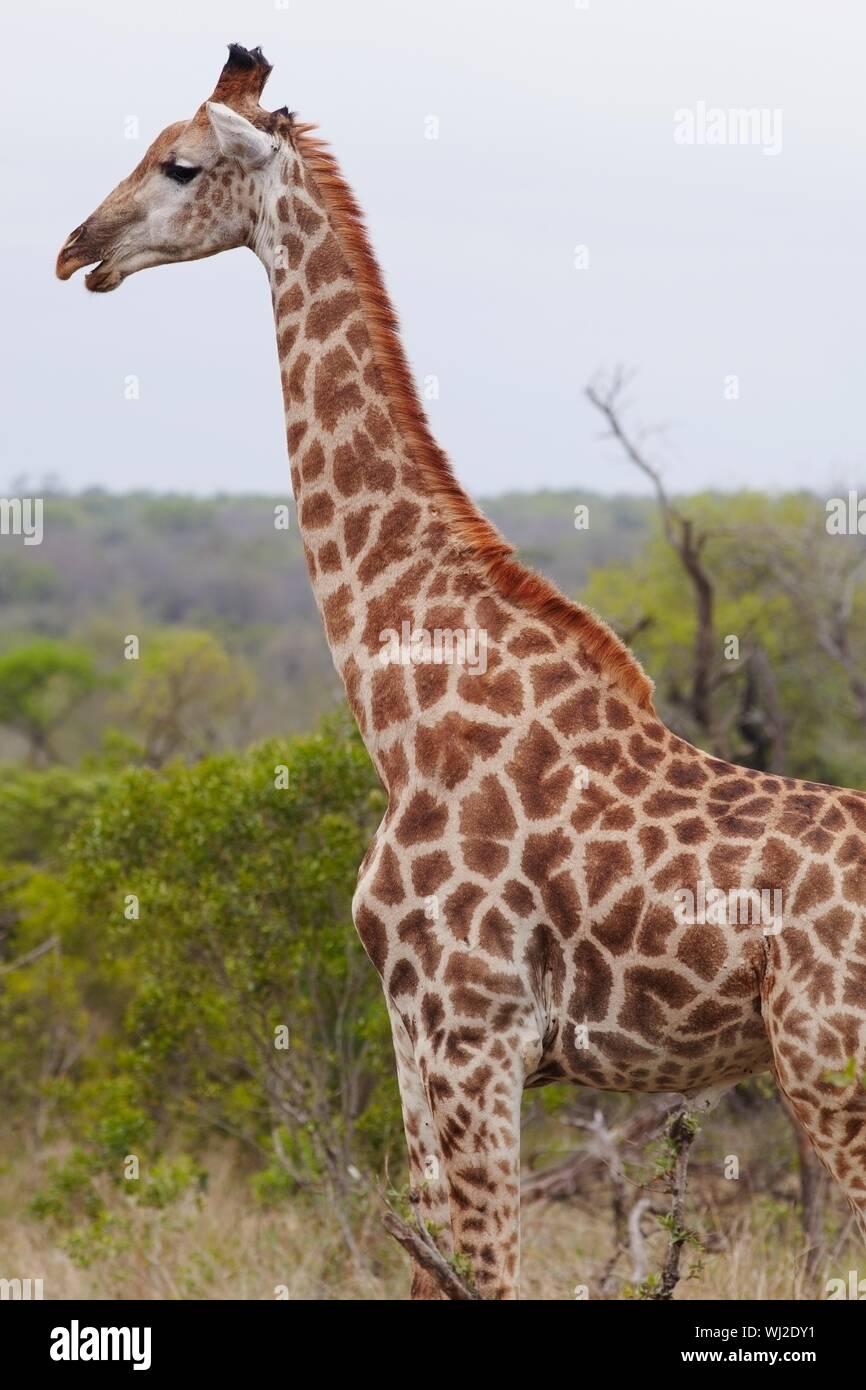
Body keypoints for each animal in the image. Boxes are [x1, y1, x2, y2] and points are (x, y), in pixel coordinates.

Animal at [57, 44, 866, 1300]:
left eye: (179, 163)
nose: (76, 248)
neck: (400, 693)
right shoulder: (413, 1033)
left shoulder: (470, 1027)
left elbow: (487, 1269)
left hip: (829, 1072)